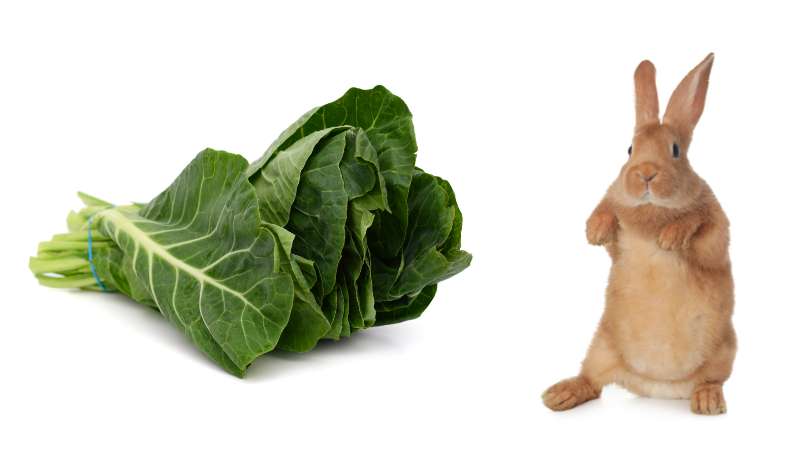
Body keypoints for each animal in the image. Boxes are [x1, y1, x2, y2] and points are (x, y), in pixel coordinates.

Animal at [542, 53, 736, 415]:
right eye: (630, 148)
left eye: (675, 150)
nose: (646, 173)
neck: (652, 209)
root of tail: (657, 389)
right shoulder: (617, 218)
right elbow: (607, 212)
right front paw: (595, 232)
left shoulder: (715, 232)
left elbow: (697, 222)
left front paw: (670, 237)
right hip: (601, 347)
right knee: (591, 380)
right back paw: (559, 395)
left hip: (724, 353)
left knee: (712, 380)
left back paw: (707, 402)